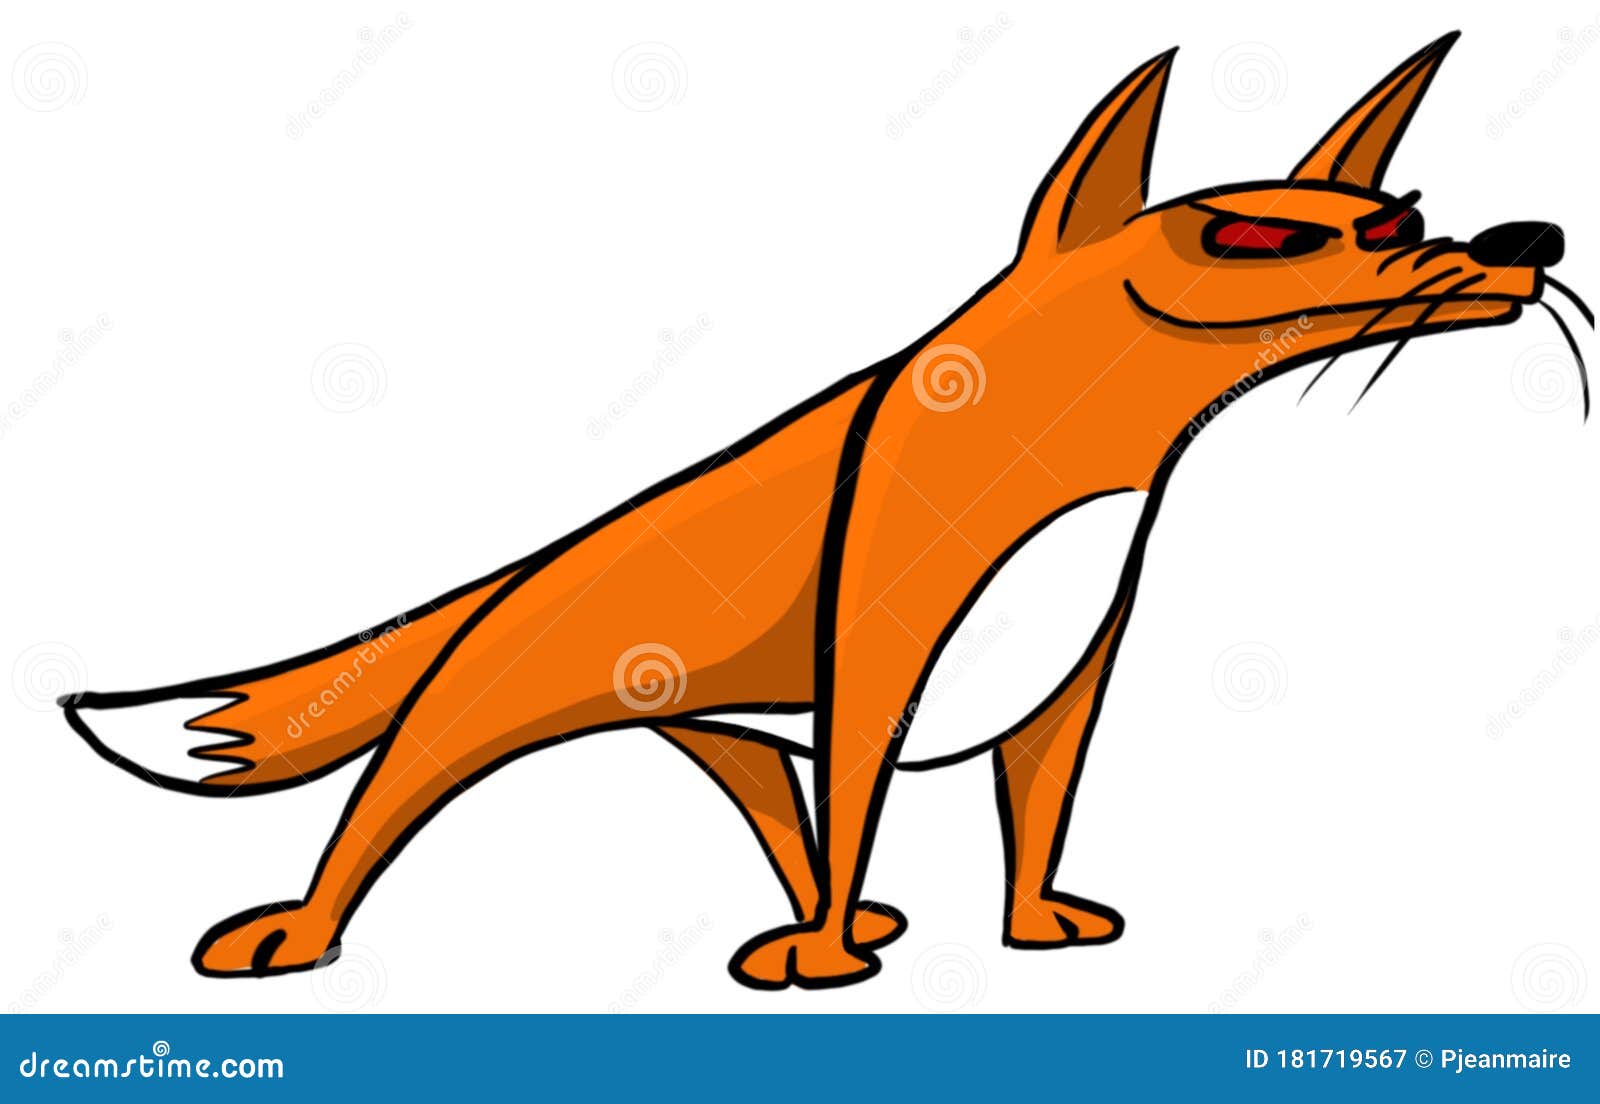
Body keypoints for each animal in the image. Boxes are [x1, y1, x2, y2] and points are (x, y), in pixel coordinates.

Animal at [63, 32, 1590, 992]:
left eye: (1405, 216)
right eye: (1261, 237)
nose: (1528, 244)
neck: (1080, 441)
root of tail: (533, 561)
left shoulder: (1066, 680)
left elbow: (1034, 810)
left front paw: (1025, 928)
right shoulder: (881, 649)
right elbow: (865, 788)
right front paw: (834, 967)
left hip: (717, 726)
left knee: (781, 823)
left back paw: (829, 921)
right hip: (488, 693)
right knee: (377, 809)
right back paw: (301, 934)